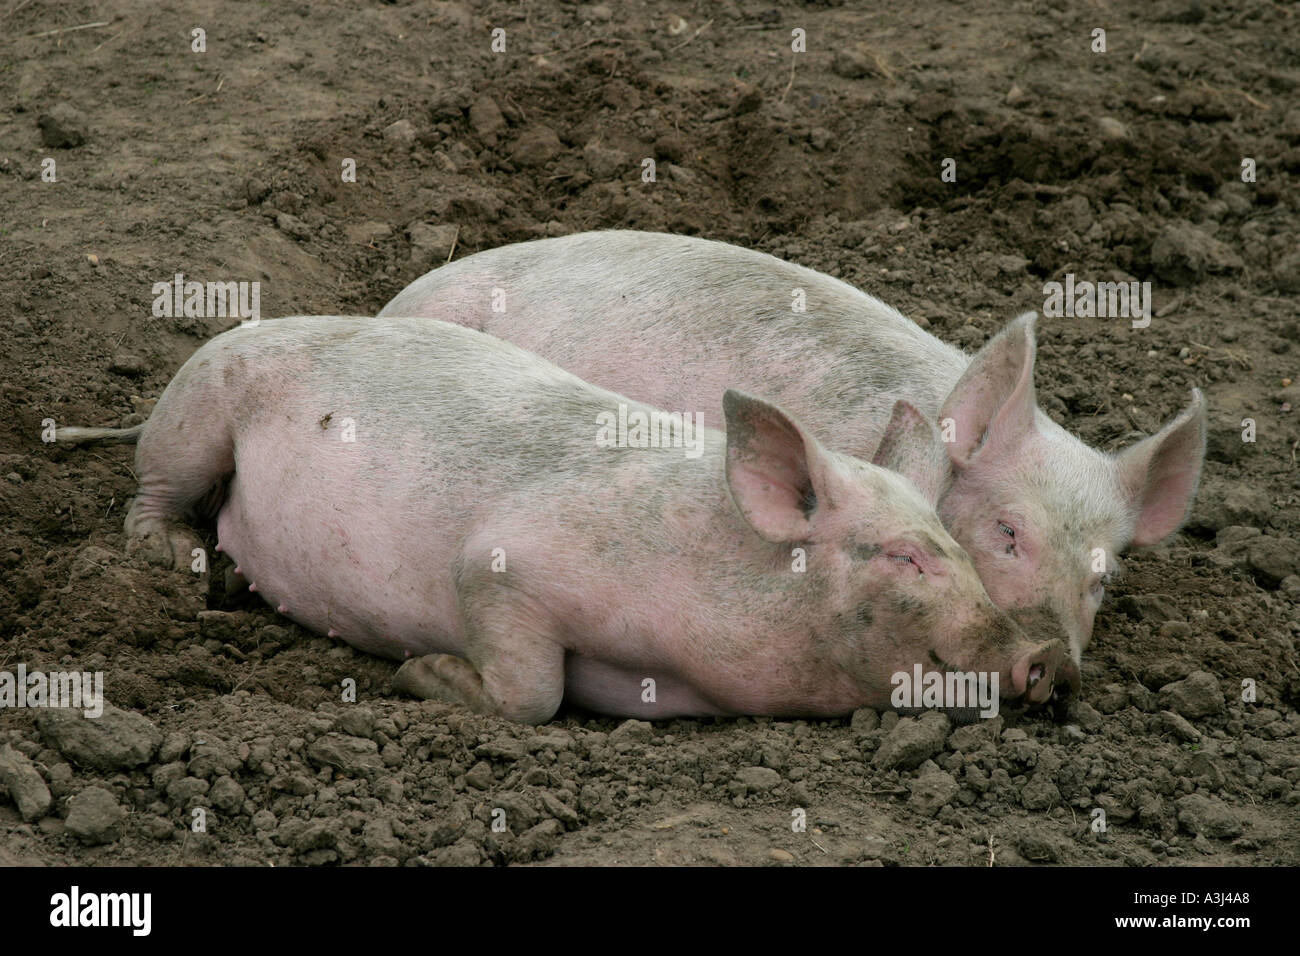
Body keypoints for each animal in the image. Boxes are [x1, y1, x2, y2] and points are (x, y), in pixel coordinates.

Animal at [58, 316, 1074, 723]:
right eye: (904, 558)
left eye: (962, 552)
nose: (1050, 657)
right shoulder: (502, 565)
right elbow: (532, 692)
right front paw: (420, 674)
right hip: (197, 412)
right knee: (153, 492)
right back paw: (181, 562)